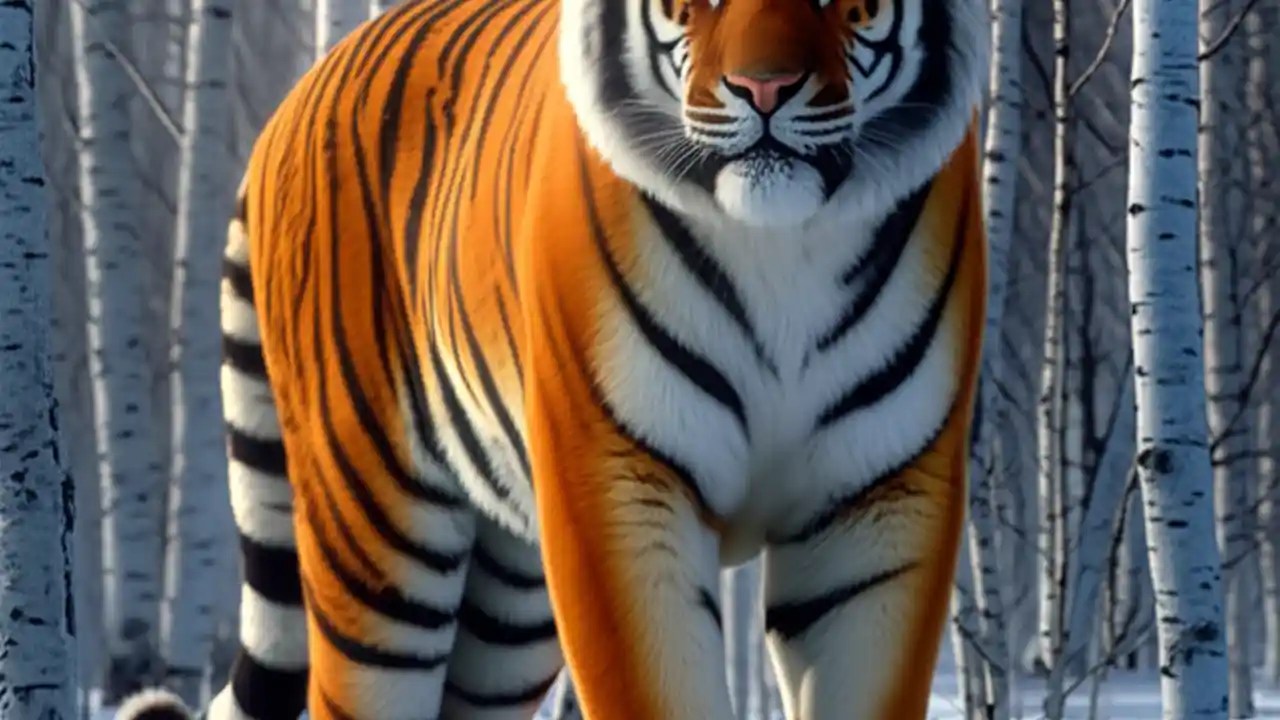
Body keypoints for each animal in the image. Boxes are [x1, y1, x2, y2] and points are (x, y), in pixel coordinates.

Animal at [122, 0, 989, 717]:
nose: (763, 88)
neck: (780, 241)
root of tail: (291, 105)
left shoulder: (878, 504)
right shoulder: (619, 489)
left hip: (510, 594)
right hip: (377, 530)